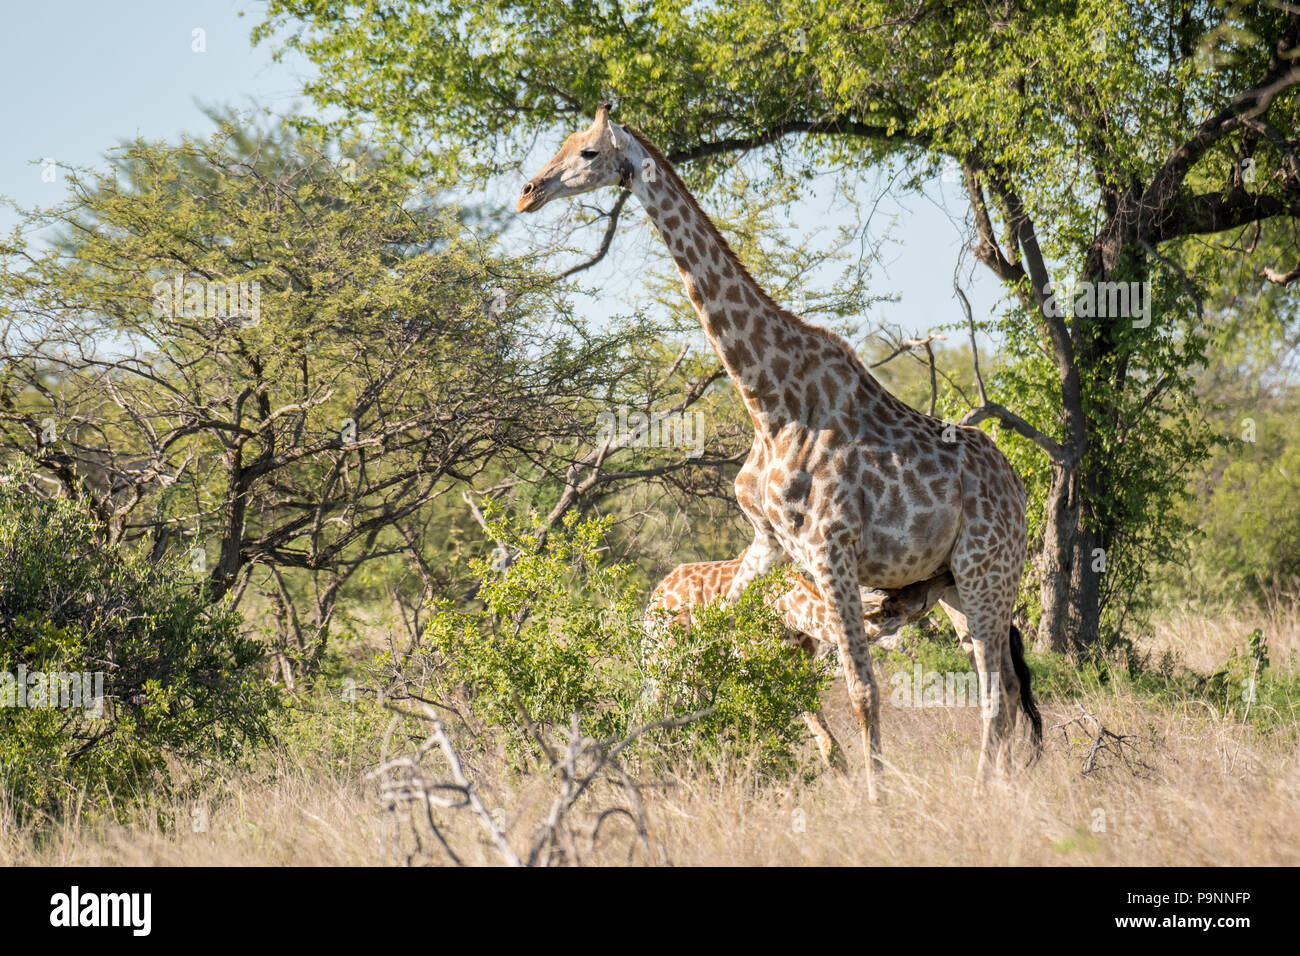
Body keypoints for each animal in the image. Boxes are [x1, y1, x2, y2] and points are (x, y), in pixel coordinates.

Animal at [519, 105, 1031, 799]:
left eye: (589, 152)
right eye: (564, 142)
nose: (528, 192)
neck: (768, 402)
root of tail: (1020, 490)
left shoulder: (830, 548)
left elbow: (863, 689)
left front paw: (875, 798)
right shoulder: (768, 543)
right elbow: (713, 634)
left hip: (987, 573)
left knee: (994, 694)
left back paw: (984, 791)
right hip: (952, 583)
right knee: (1003, 685)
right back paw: (1005, 786)